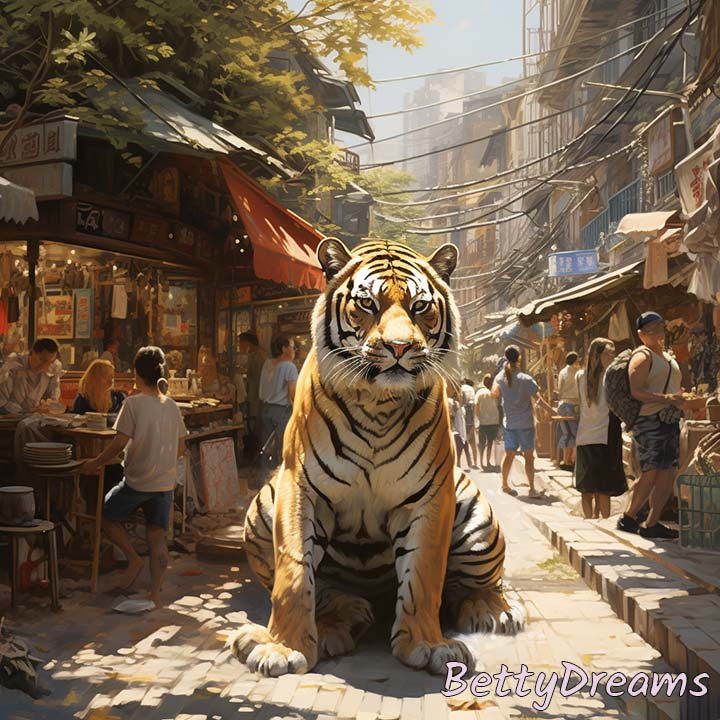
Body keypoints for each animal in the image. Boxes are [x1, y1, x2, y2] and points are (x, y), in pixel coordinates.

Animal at [234, 238, 524, 678]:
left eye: (420, 307)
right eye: (367, 304)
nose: (399, 347)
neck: (378, 402)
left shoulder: (429, 496)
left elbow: (424, 576)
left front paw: (428, 645)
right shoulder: (299, 487)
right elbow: (294, 574)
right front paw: (281, 648)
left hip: (478, 517)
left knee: (473, 585)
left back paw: (495, 610)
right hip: (261, 509)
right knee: (327, 592)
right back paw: (340, 621)